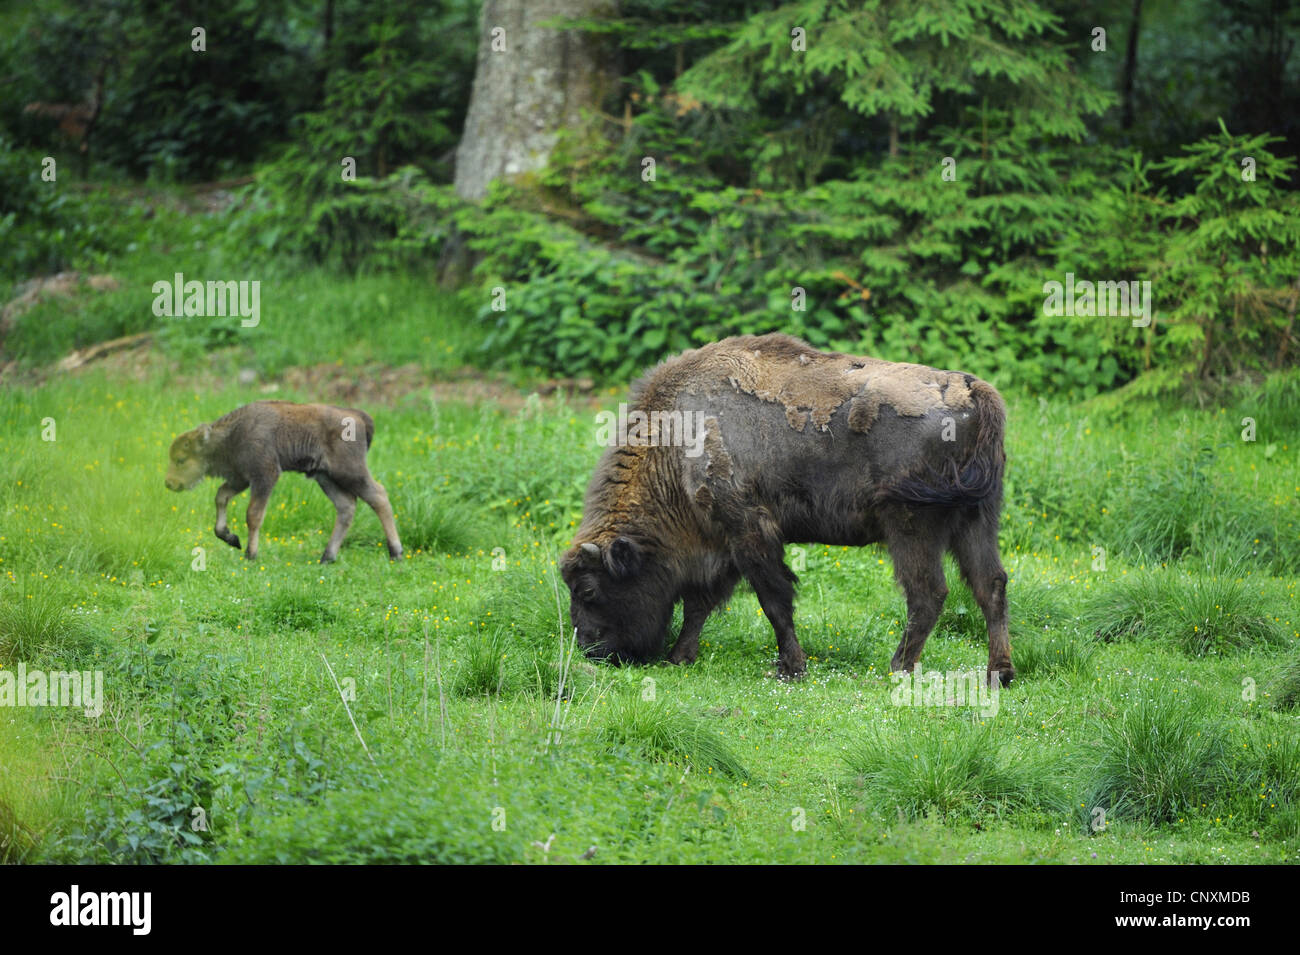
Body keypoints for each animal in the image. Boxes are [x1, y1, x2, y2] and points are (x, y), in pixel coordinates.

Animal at [165, 401, 403, 564]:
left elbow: (253, 515)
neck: (233, 434)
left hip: (350, 472)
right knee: (347, 506)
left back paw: (395, 553)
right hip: (325, 477)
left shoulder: (265, 476)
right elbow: (221, 497)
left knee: (378, 496)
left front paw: (250, 554)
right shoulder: (240, 479)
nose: (169, 483)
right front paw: (231, 538)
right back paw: (327, 557)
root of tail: (358, 416)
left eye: (181, 459)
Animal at [560, 333, 1013, 685]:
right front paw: (680, 657)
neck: (677, 442)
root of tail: (975, 393)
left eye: (588, 589)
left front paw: (791, 669)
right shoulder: (723, 543)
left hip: (910, 525)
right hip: (978, 517)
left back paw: (898, 668)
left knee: (928, 593)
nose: (589, 649)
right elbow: (700, 604)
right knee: (990, 584)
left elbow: (773, 599)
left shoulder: (748, 531)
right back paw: (999, 675)